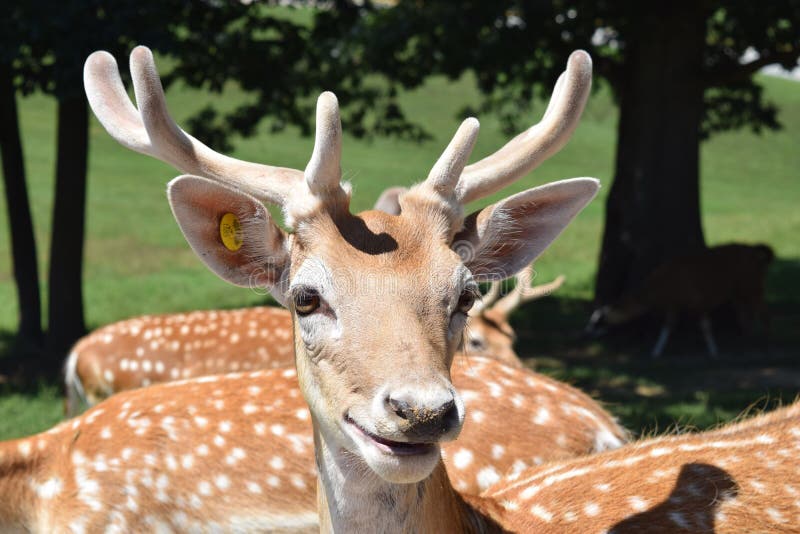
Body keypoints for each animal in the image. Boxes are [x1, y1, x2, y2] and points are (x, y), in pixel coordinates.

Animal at [585, 243, 774, 358]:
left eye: (599, 321)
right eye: (593, 319)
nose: (587, 333)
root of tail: (754, 250)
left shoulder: (697, 301)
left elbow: (705, 326)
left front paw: (713, 352)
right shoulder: (673, 305)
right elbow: (668, 326)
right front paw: (656, 351)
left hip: (752, 286)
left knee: (763, 312)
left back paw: (765, 340)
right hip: (739, 291)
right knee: (746, 313)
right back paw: (748, 338)